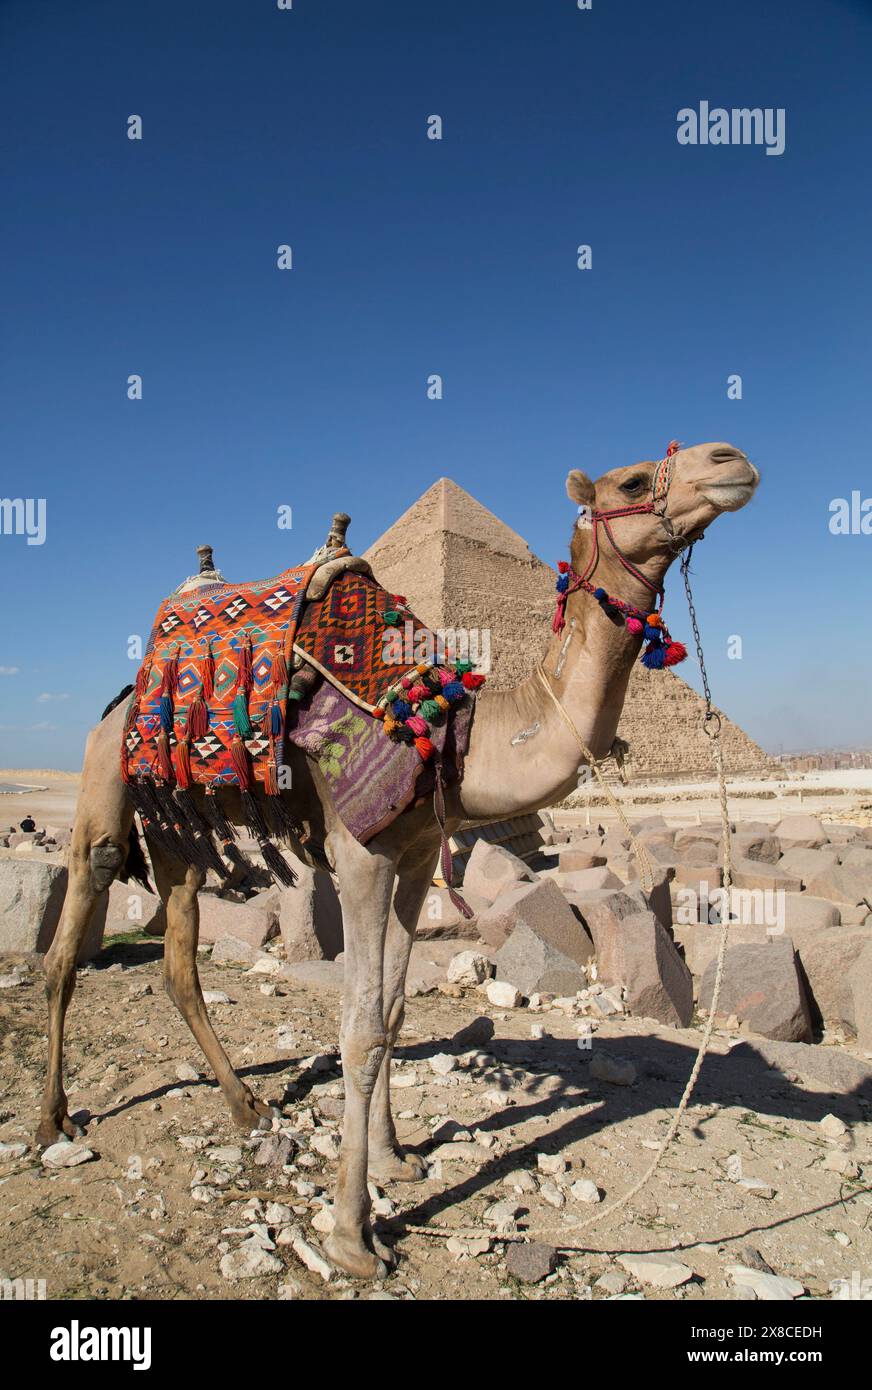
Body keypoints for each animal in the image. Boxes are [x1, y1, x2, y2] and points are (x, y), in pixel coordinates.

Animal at [36, 441, 759, 1279]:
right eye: (634, 481)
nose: (732, 460)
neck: (451, 731)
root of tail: (121, 697)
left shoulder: (414, 859)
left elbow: (392, 1008)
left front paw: (392, 1160)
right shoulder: (360, 855)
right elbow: (358, 1029)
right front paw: (354, 1237)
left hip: (177, 824)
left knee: (179, 958)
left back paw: (246, 1105)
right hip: (104, 788)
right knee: (72, 934)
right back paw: (53, 1120)